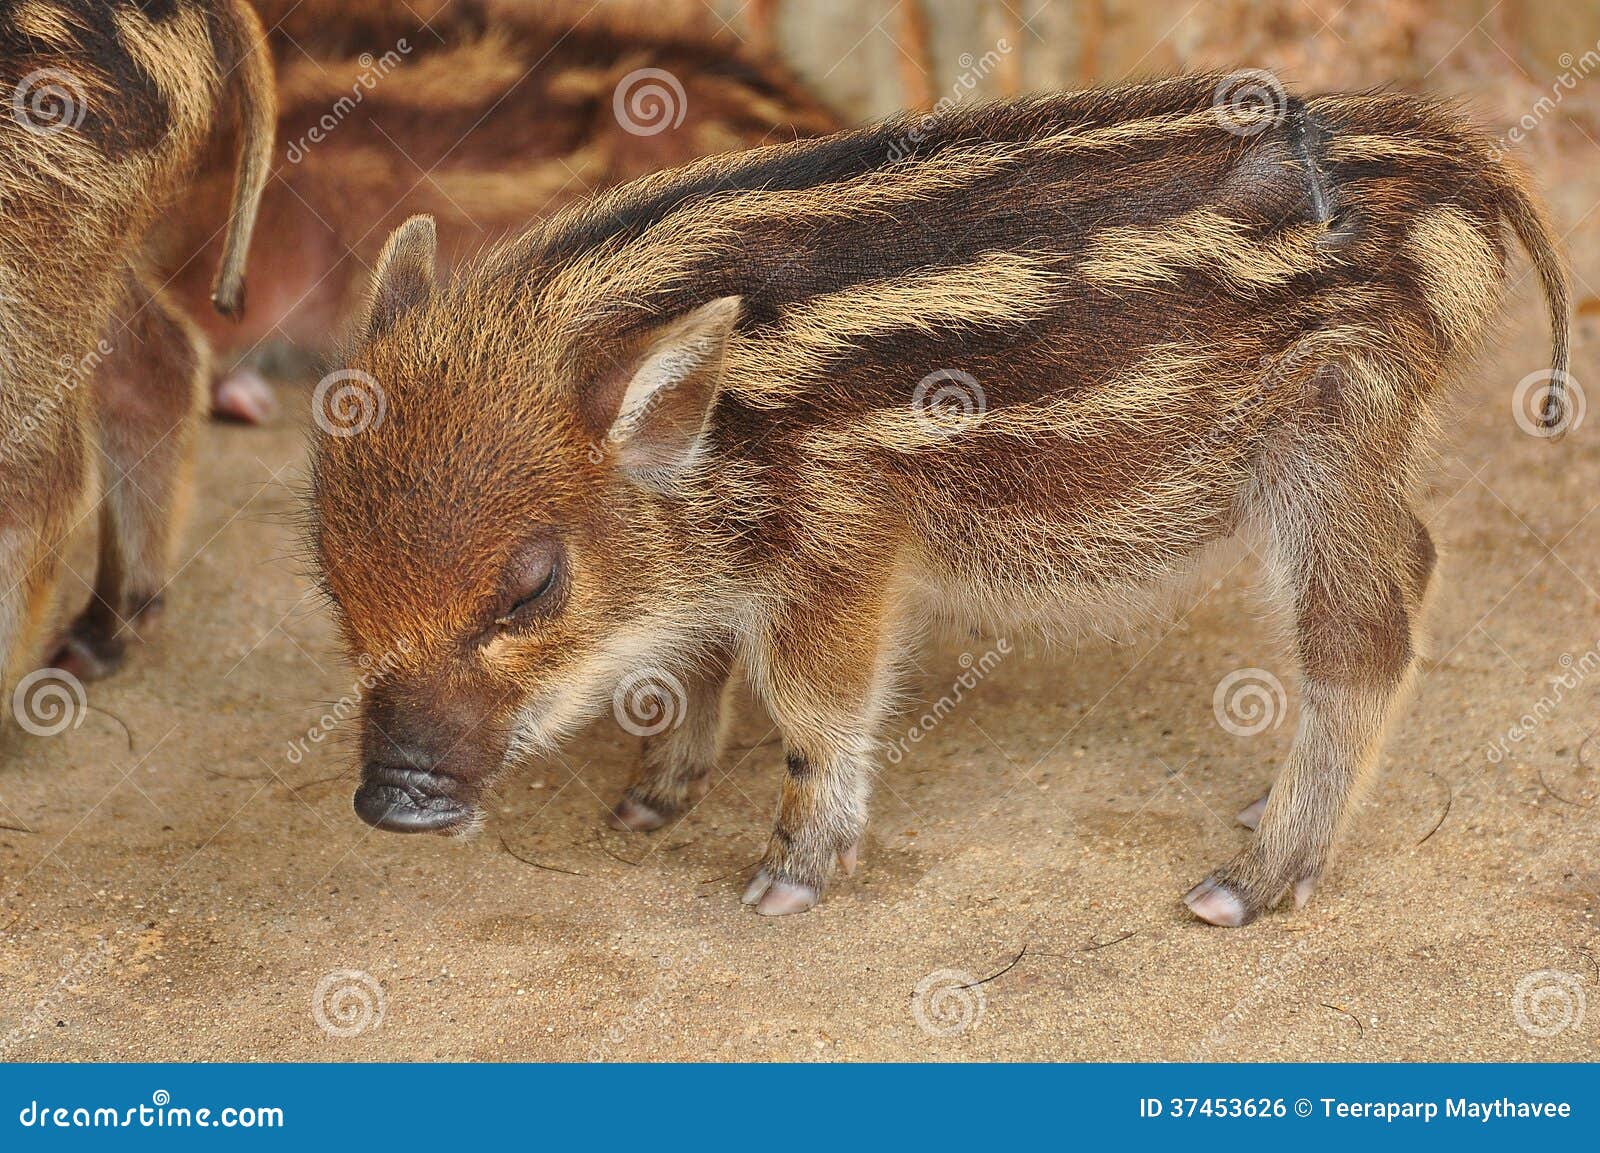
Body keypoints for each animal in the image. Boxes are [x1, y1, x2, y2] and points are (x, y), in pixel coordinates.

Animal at [308, 75, 1569, 925]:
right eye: (330, 582)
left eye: (531, 587)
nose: (394, 803)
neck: (724, 429)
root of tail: (1463, 166)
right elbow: (699, 650)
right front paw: (646, 807)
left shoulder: (843, 531)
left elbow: (812, 701)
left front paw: (783, 884)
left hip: (1335, 428)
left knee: (1367, 628)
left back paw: (1242, 883)